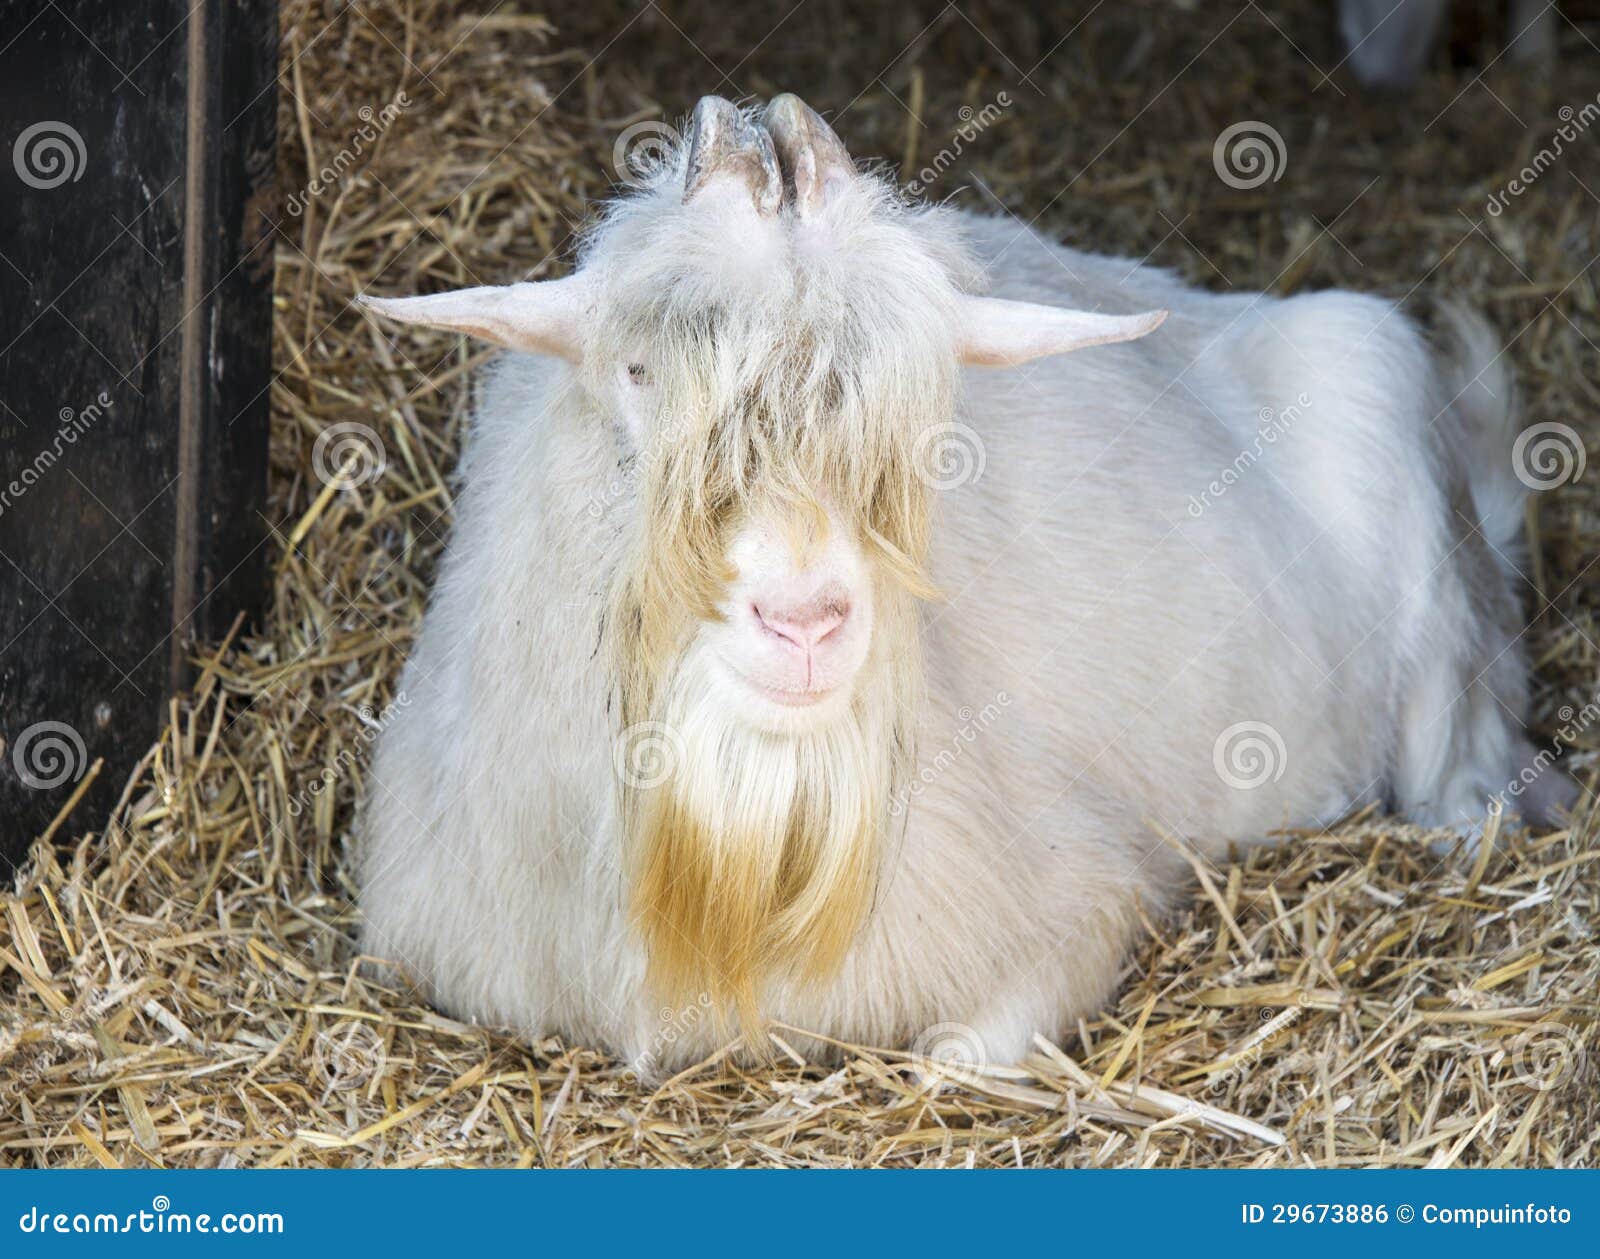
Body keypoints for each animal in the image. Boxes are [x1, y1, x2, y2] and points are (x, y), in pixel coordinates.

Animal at [357, 94, 1571, 1071]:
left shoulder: (1078, 898)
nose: (806, 621)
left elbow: (954, 1056)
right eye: (638, 372)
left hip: (1380, 394)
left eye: (915, 417)